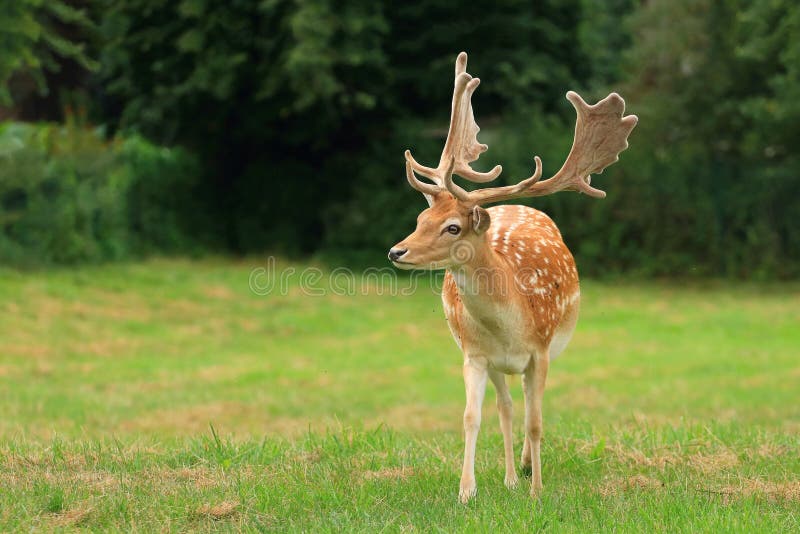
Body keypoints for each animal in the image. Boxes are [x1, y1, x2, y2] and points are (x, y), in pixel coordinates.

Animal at [388, 52, 637, 503]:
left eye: (452, 227)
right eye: (420, 219)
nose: (397, 251)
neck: (510, 326)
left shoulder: (539, 352)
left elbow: (535, 421)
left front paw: (537, 489)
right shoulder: (474, 354)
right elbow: (472, 416)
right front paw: (466, 491)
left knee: (528, 406)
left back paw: (523, 468)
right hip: (494, 364)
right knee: (505, 408)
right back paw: (508, 476)